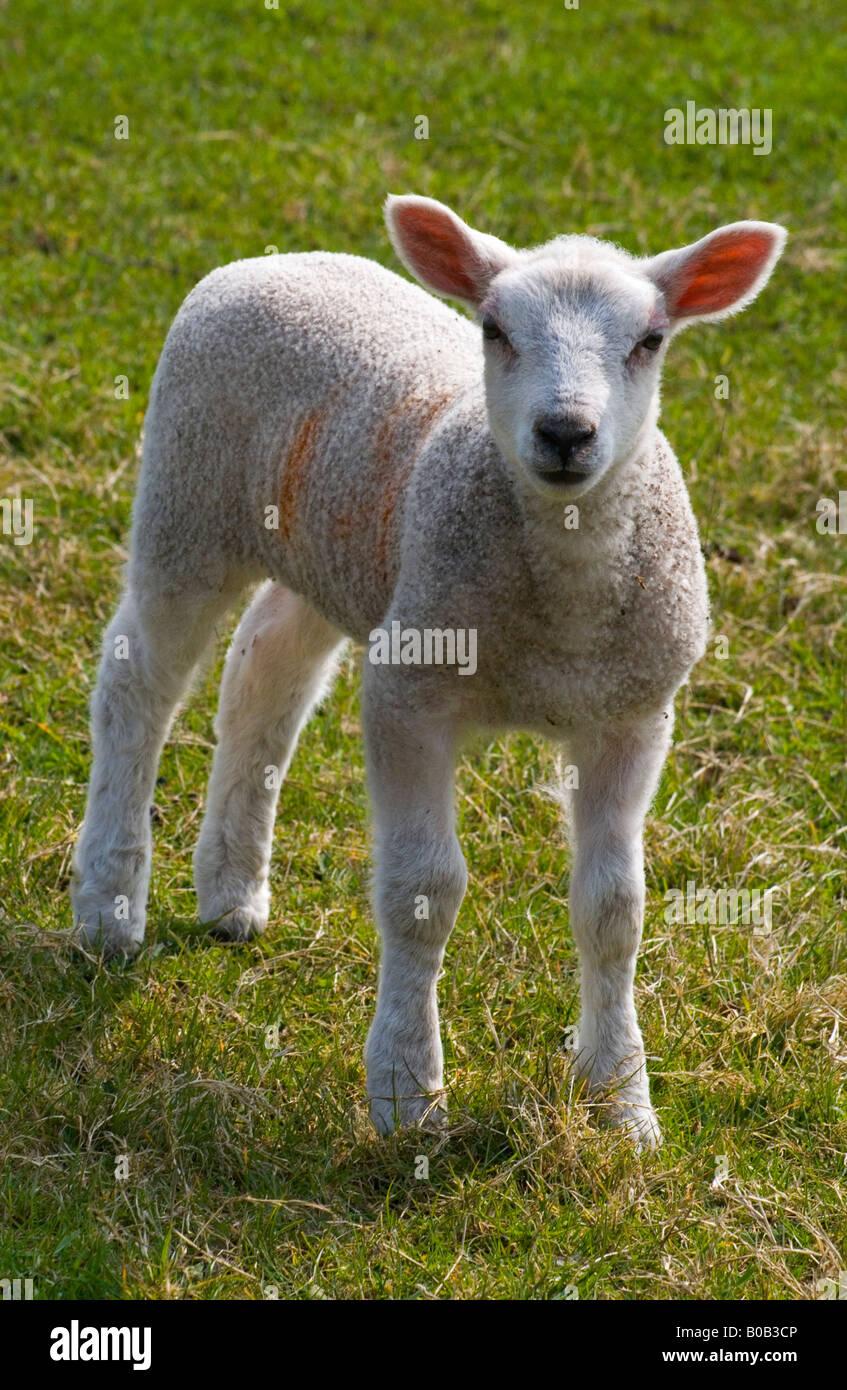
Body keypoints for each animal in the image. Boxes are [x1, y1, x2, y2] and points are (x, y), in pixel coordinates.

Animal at [71, 196, 786, 1147]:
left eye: (650, 340)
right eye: (493, 329)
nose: (565, 433)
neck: (561, 605)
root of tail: (272, 261)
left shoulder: (631, 715)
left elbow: (614, 909)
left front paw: (620, 1101)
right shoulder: (408, 697)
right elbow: (424, 889)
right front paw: (408, 1090)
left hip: (343, 552)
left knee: (265, 671)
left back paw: (230, 894)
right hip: (187, 507)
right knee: (137, 686)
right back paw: (109, 908)